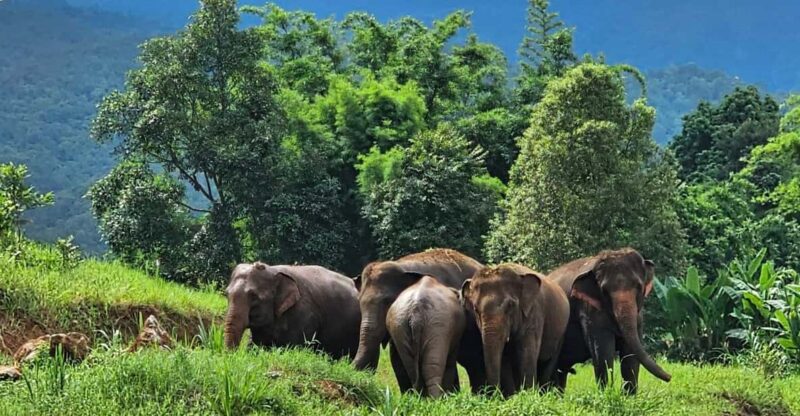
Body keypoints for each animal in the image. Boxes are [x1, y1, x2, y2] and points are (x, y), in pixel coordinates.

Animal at [461, 263, 570, 395]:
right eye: (475, 309)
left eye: (510, 306)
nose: (494, 395)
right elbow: (504, 358)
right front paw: (512, 396)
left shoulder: (534, 313)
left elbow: (527, 354)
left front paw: (528, 394)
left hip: (561, 332)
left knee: (548, 362)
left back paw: (543, 392)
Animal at [549, 248, 671, 394]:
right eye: (604, 291)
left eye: (638, 286)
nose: (670, 377)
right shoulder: (588, 310)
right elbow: (603, 351)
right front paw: (606, 393)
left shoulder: (638, 315)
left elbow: (630, 353)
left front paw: (629, 396)